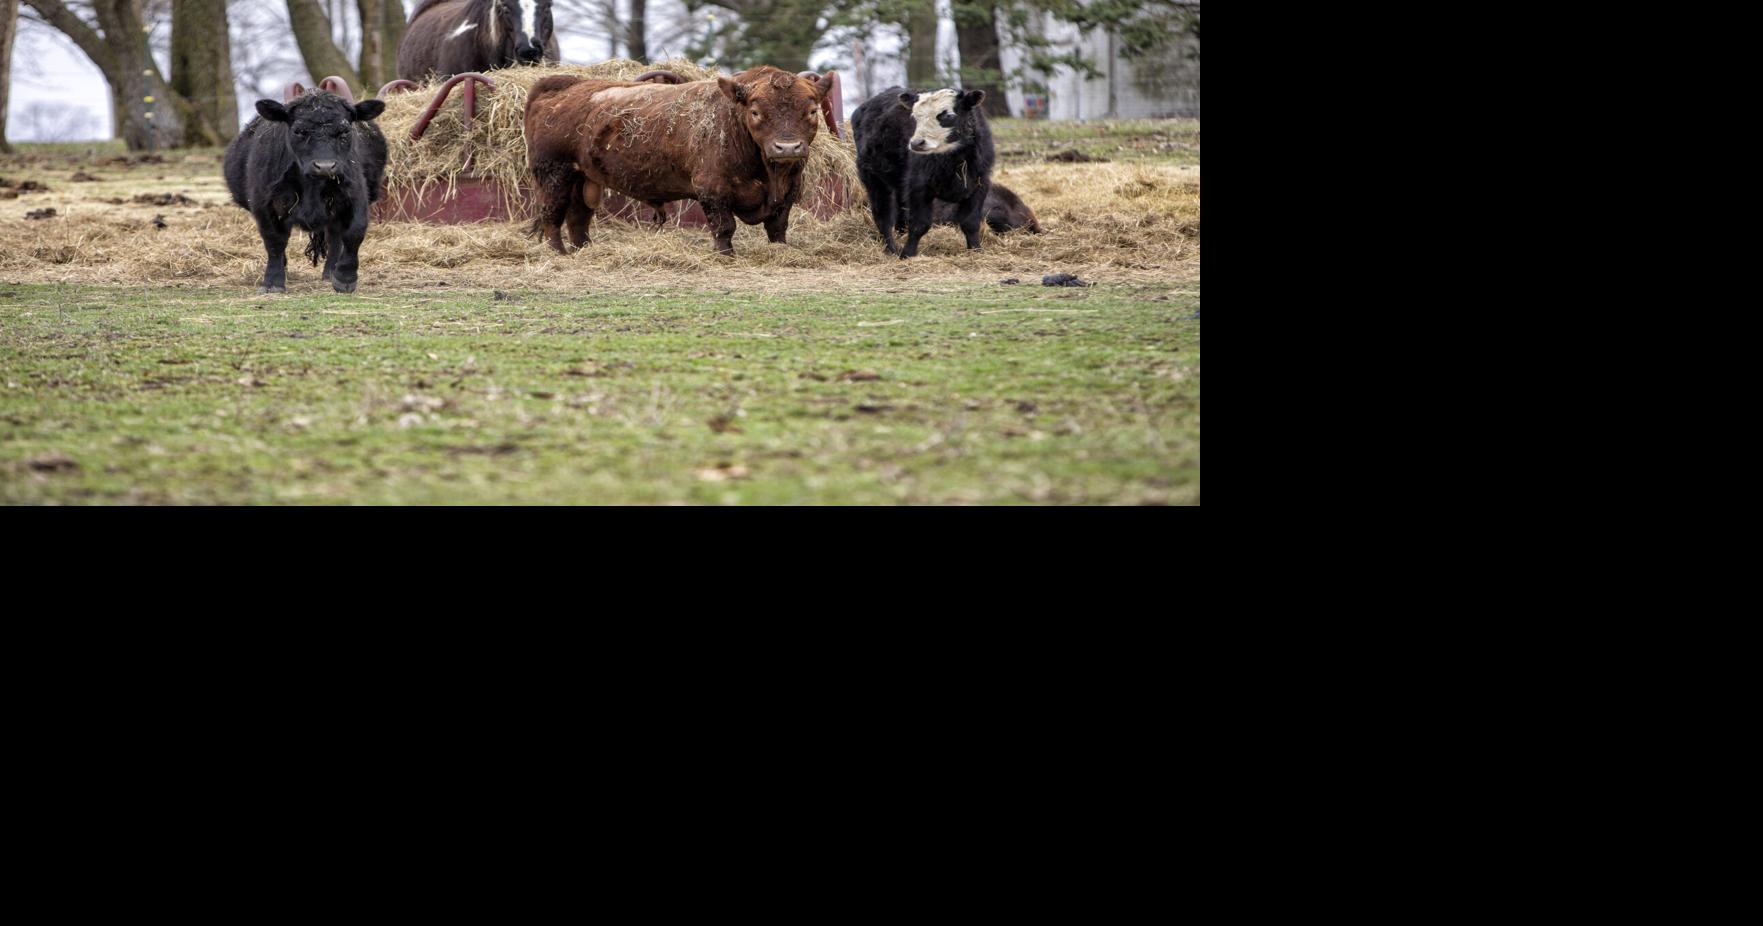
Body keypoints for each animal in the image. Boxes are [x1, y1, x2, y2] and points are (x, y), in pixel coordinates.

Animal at [224, 92, 388, 294]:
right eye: (299, 131)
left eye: (345, 131)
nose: (325, 166)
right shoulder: (264, 204)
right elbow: (274, 241)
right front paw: (273, 281)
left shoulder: (357, 197)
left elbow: (354, 234)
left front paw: (344, 277)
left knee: (334, 238)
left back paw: (331, 271)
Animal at [525, 66, 836, 256]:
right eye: (756, 112)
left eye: (812, 111)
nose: (787, 147)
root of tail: (564, 86)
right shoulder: (712, 190)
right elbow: (724, 227)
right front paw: (726, 255)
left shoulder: (789, 191)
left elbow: (777, 227)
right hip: (555, 175)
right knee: (552, 216)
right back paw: (559, 253)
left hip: (584, 180)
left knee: (578, 219)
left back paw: (584, 250)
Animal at [852, 87, 996, 258]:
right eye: (915, 116)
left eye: (948, 116)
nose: (916, 143)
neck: (953, 162)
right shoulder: (918, 187)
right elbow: (919, 224)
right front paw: (907, 254)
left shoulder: (979, 184)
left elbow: (970, 222)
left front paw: (976, 250)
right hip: (873, 179)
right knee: (883, 217)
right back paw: (891, 249)